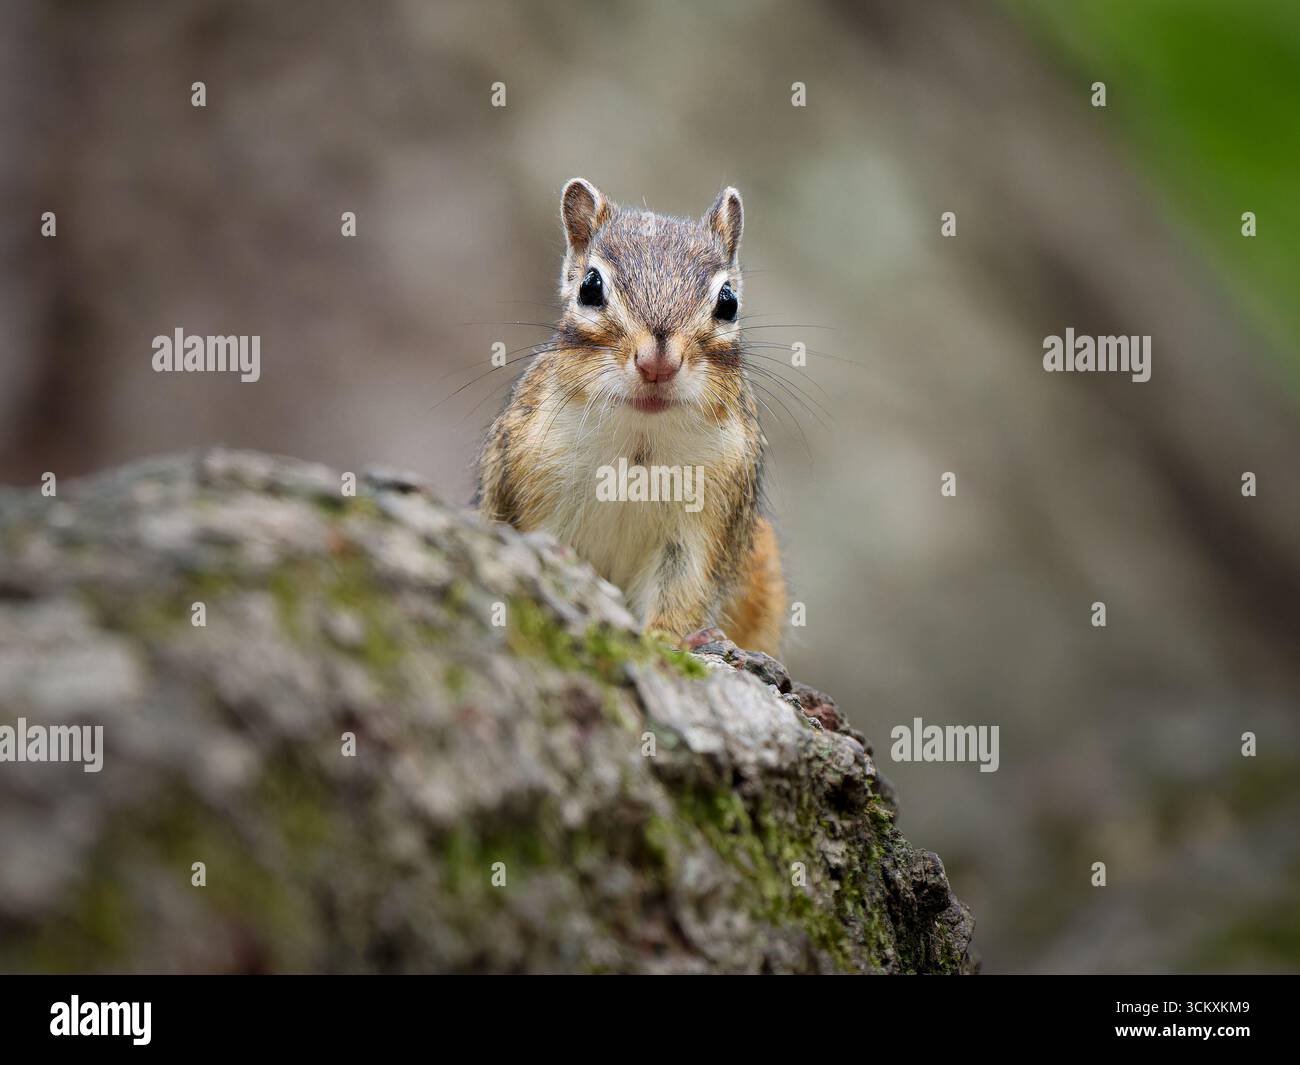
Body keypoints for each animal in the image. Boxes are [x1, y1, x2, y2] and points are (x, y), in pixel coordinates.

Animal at [476, 178, 785, 656]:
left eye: (728, 301)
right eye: (589, 287)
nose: (658, 363)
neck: (642, 435)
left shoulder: (702, 524)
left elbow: (682, 587)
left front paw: (669, 640)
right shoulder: (532, 484)